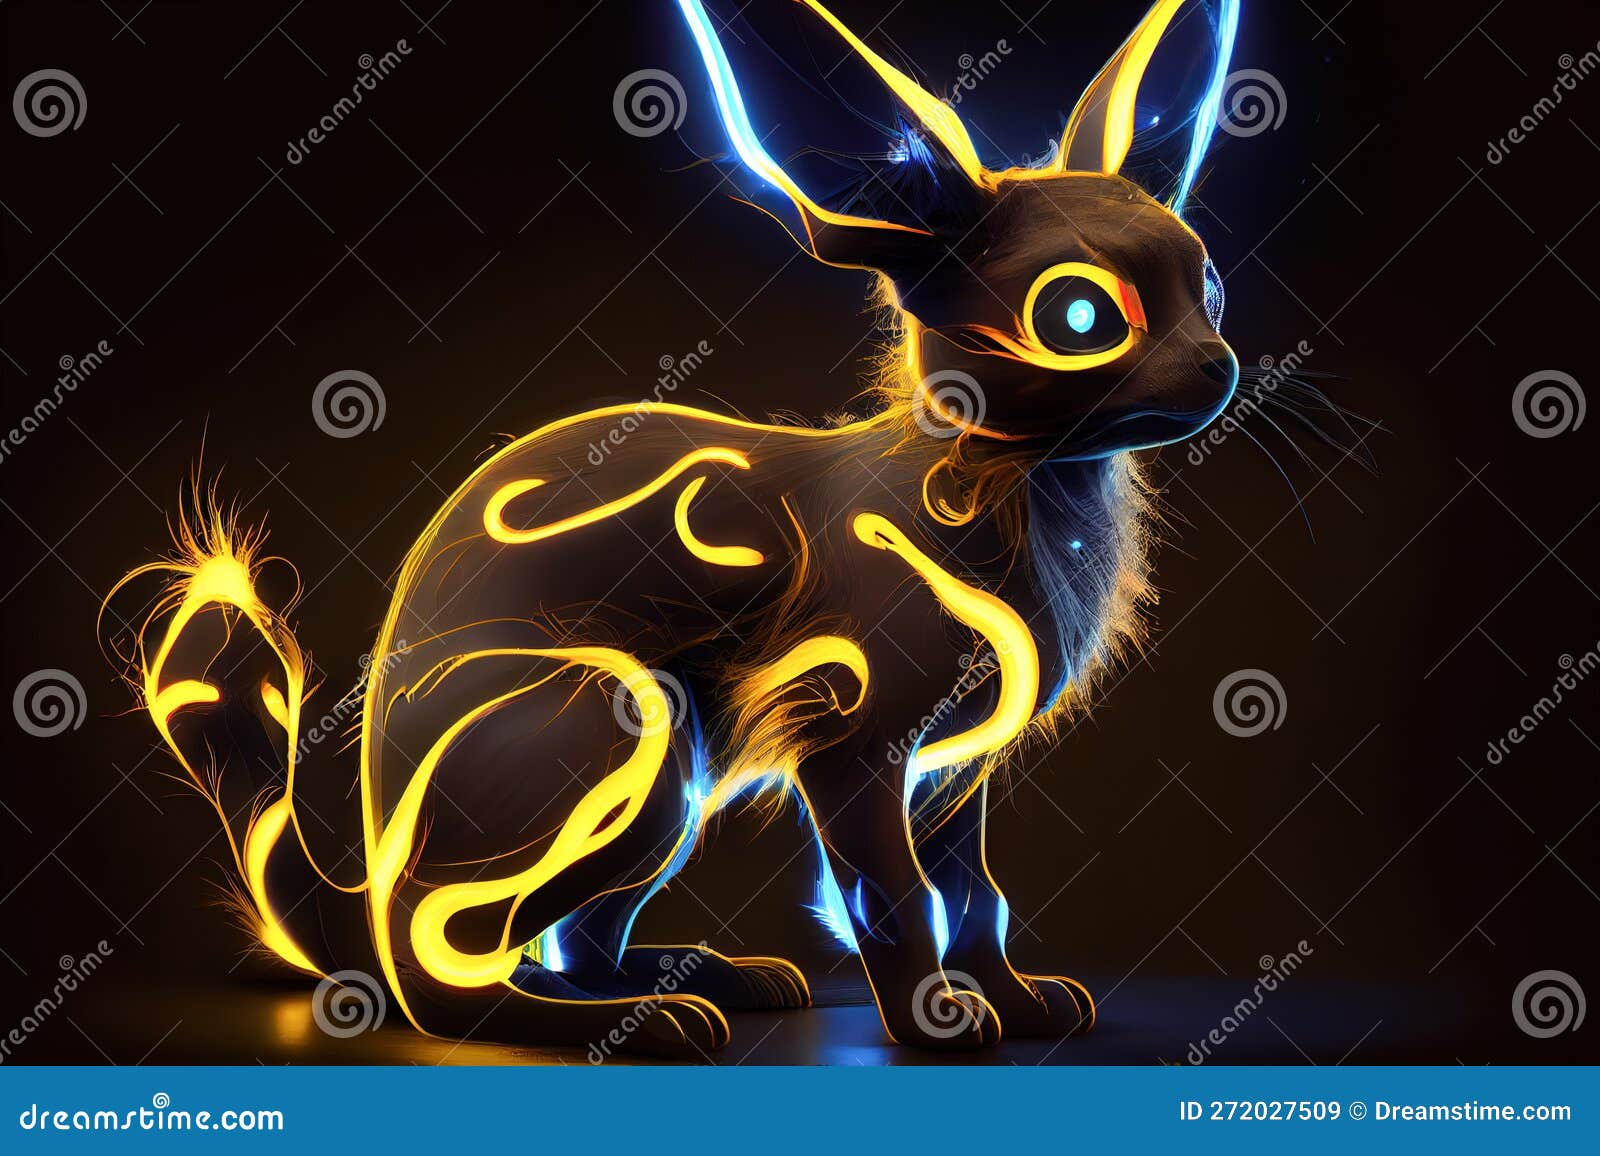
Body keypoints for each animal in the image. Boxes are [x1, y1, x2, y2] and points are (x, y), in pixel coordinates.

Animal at [106, 0, 1252, 1056]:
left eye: (1211, 287)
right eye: (1079, 318)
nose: (1218, 365)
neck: (1022, 492)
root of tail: (374, 860)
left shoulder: (954, 768)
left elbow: (972, 893)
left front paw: (1012, 1002)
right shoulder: (849, 738)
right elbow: (891, 897)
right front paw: (935, 1022)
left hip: (684, 762)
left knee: (564, 940)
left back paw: (684, 981)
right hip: (624, 719)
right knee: (436, 968)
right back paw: (618, 1019)